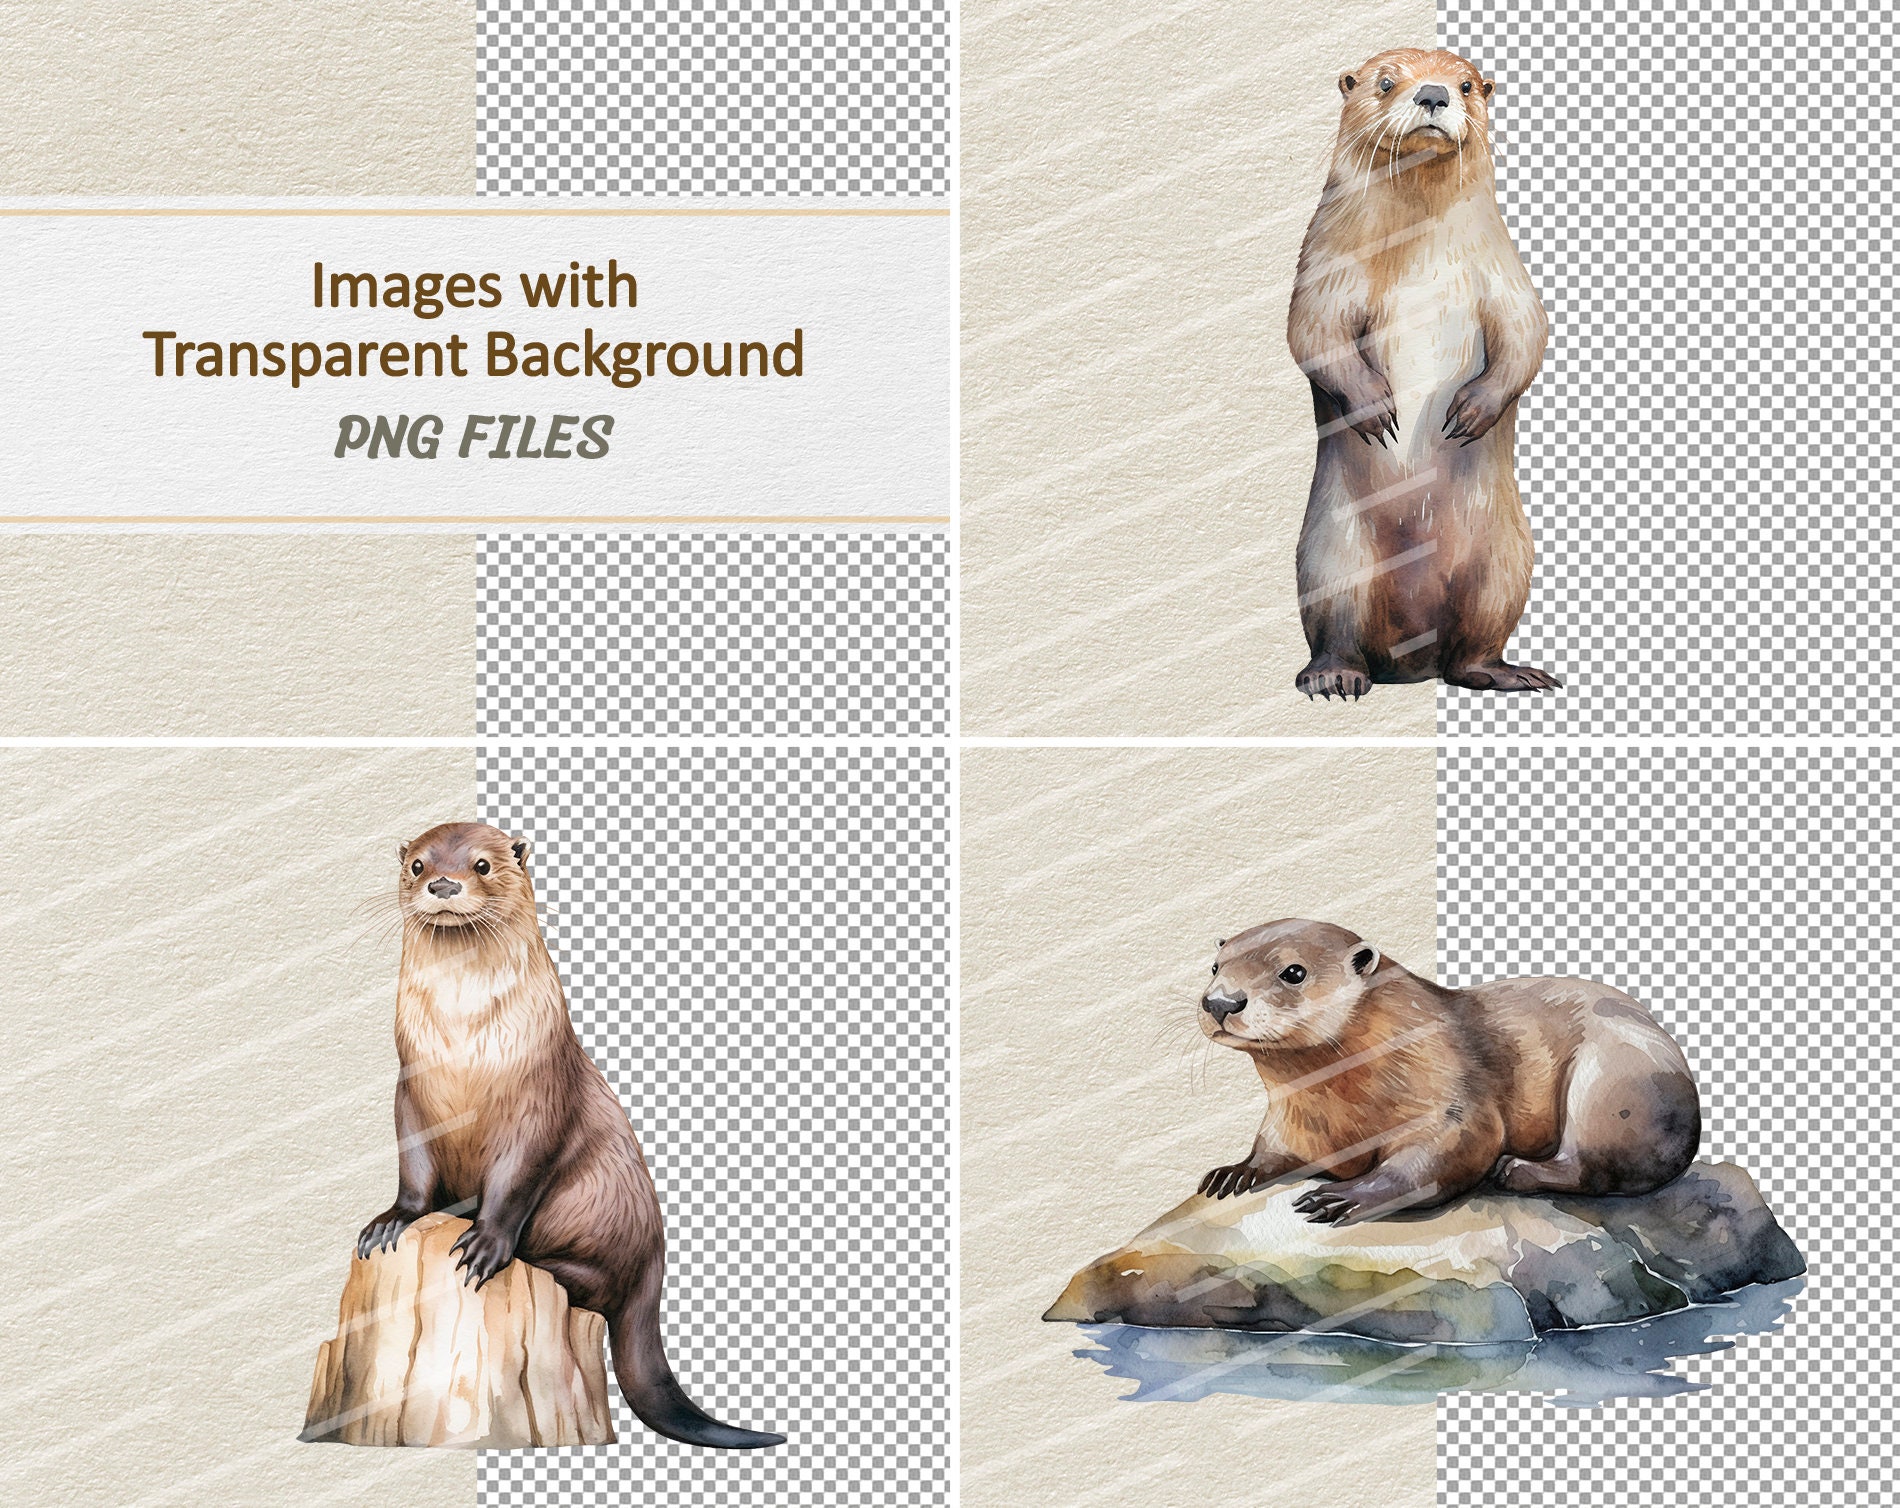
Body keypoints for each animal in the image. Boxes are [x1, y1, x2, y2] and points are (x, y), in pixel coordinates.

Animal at [355, 821, 785, 1450]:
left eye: (481, 865)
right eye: (417, 865)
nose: (442, 883)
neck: (463, 1043)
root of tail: (653, 1273)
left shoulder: (540, 1098)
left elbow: (515, 1180)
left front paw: (486, 1247)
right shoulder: (410, 1089)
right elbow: (413, 1166)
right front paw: (394, 1220)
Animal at [1195, 920, 1699, 1224]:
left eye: (1293, 973)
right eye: (1215, 967)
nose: (1221, 1001)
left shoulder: (1451, 1091)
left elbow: (1449, 1149)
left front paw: (1346, 1195)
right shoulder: (1288, 1120)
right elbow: (1271, 1148)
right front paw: (1234, 1172)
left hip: (1611, 1080)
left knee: (1594, 1168)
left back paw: (1518, 1171)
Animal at [1288, 47, 1558, 698]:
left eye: (1467, 84)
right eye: (1386, 82)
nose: (1433, 93)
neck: (1422, 252)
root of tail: (1413, 659)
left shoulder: (1506, 274)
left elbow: (1528, 335)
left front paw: (1472, 410)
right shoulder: (1323, 269)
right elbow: (1312, 334)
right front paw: (1374, 408)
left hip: (1505, 561)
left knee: (1475, 642)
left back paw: (1506, 672)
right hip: (1331, 555)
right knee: (1335, 622)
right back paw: (1334, 675)